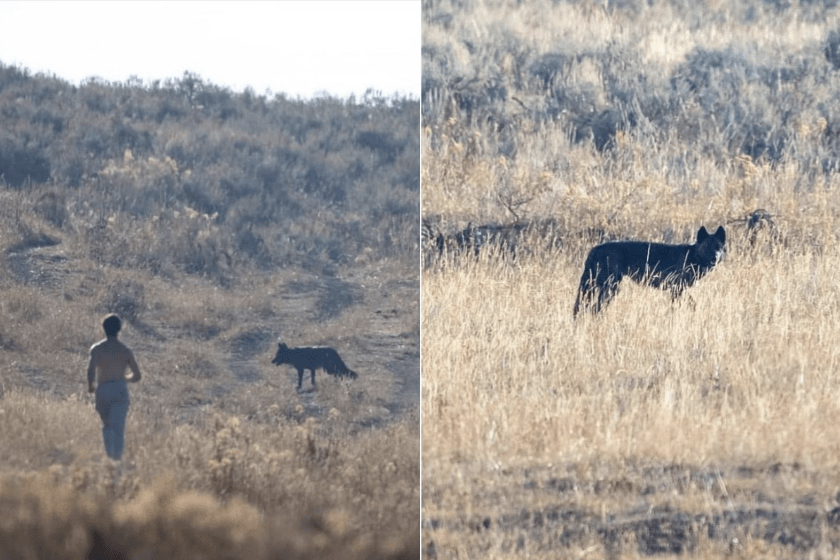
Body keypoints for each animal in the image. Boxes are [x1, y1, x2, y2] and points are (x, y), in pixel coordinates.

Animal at [573, 225, 726, 316]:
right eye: (707, 247)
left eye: (718, 247)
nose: (715, 258)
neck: (692, 256)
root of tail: (595, 249)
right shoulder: (676, 288)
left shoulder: (679, 289)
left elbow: (693, 304)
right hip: (610, 288)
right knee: (595, 309)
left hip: (596, 287)